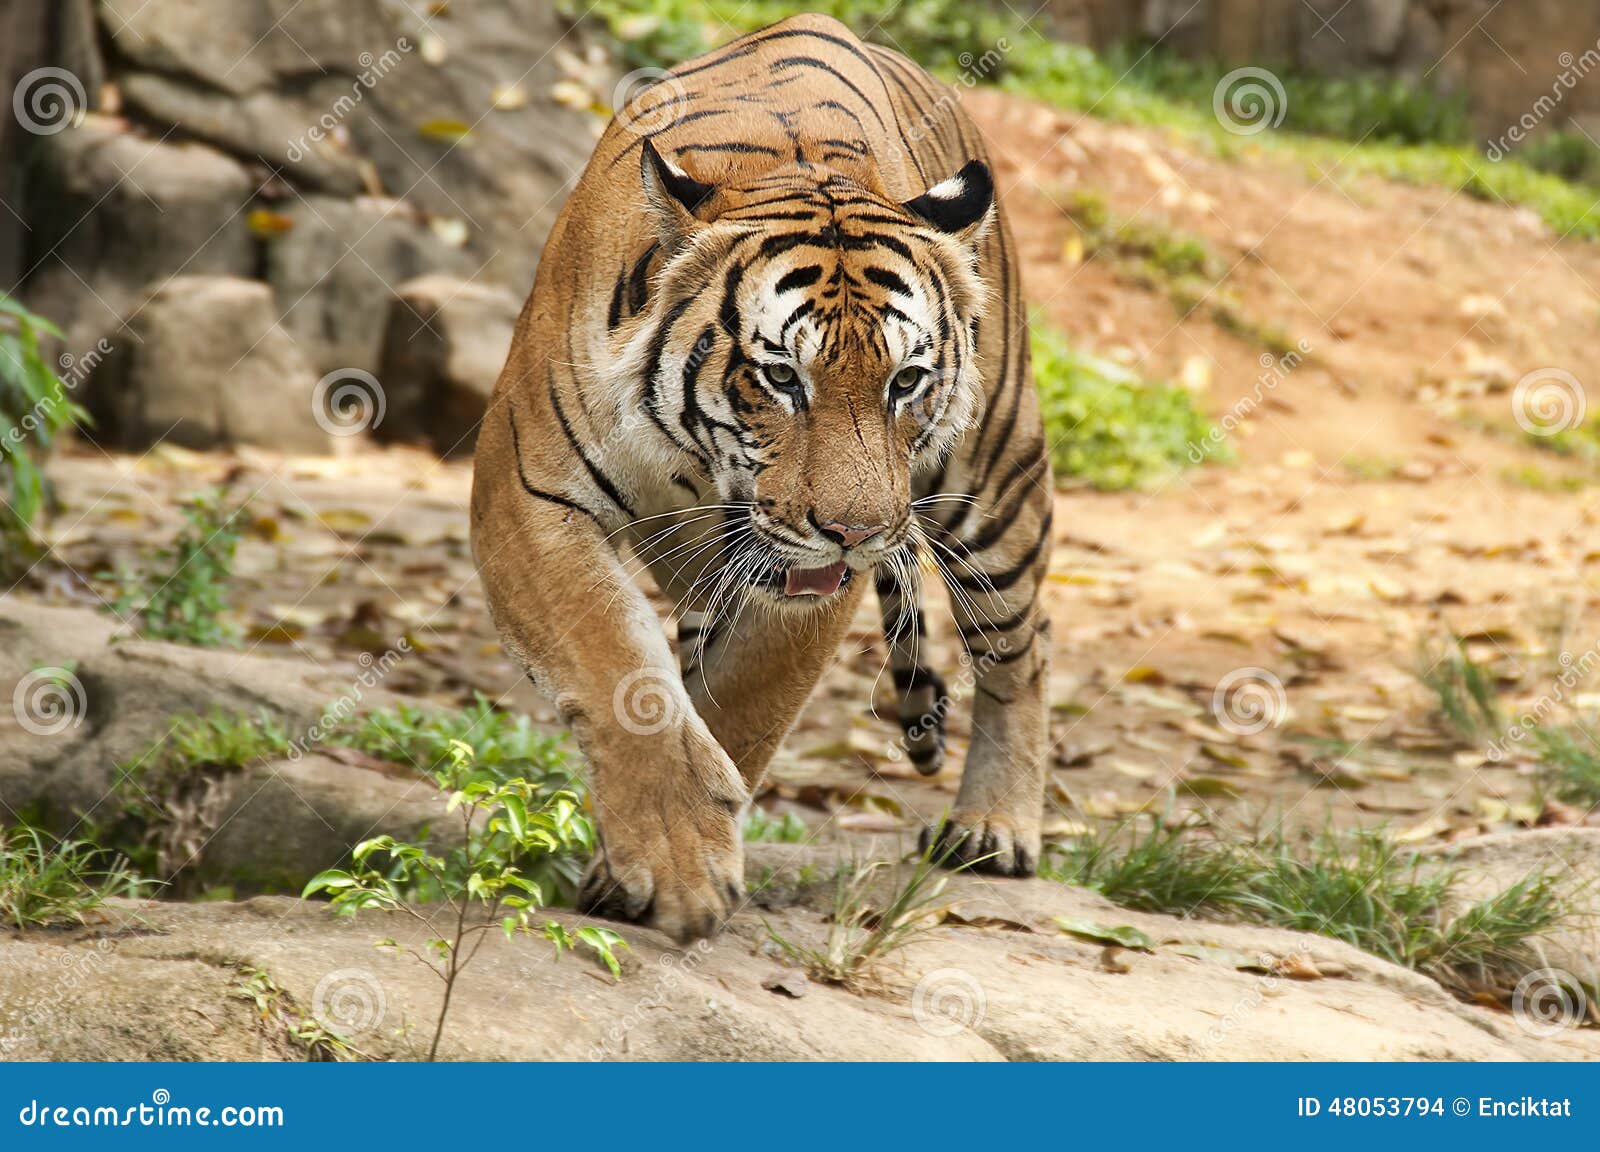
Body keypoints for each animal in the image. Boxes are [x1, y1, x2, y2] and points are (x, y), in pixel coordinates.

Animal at [471, 13, 1053, 942]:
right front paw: (676, 862)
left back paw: (994, 830)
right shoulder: (526, 491)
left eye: (905, 381)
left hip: (994, 484)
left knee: (1020, 653)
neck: (696, 468)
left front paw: (680, 864)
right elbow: (615, 664)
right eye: (782, 377)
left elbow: (750, 699)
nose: (857, 531)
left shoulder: (815, 581)